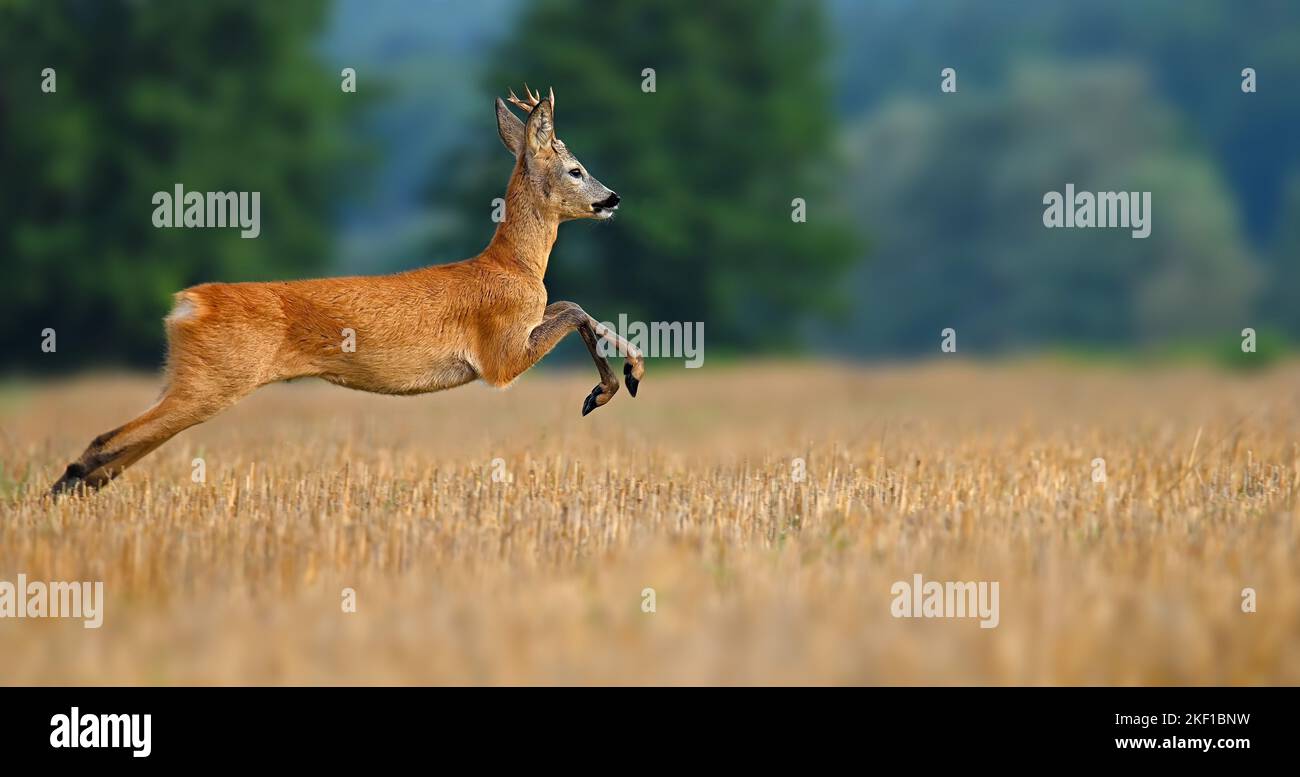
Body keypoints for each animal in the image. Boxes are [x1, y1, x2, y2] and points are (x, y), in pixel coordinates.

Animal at [49, 86, 644, 497]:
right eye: (576, 169)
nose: (614, 198)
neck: (513, 265)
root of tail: (186, 304)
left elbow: (572, 308)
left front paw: (610, 385)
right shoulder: (499, 356)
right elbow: (573, 308)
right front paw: (620, 381)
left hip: (185, 376)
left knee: (119, 448)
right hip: (214, 378)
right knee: (106, 442)